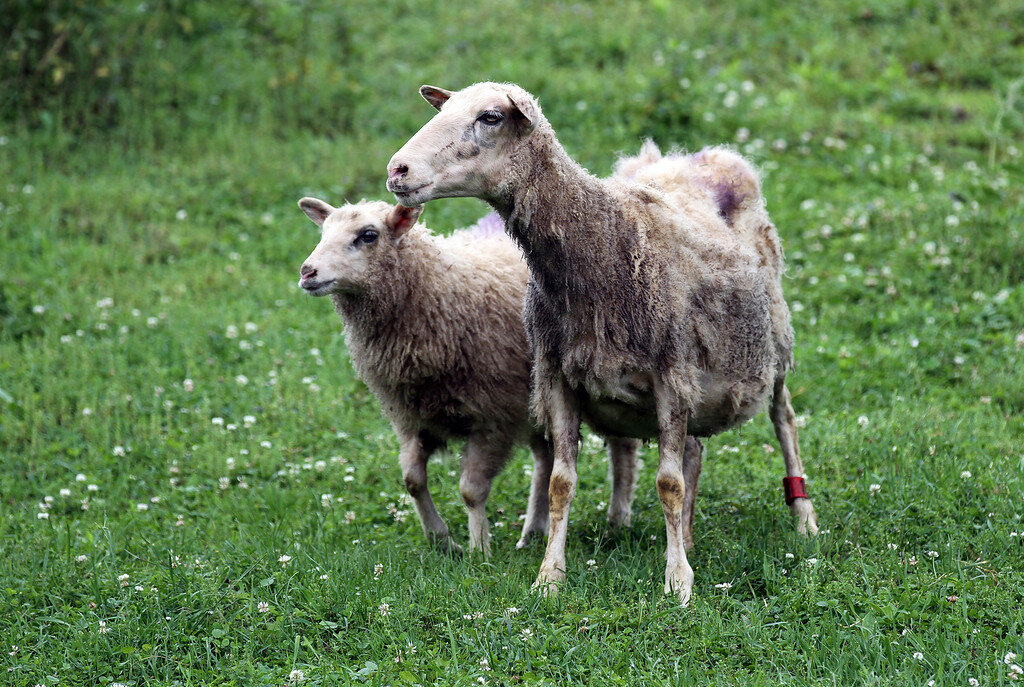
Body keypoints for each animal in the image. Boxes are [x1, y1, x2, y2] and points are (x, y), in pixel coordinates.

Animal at [294, 197, 642, 554]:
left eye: (368, 235)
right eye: (323, 232)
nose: (307, 272)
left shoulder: (491, 417)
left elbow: (471, 490)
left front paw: (479, 550)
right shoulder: (411, 417)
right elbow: (412, 480)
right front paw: (442, 540)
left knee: (622, 446)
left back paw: (617, 520)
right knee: (546, 458)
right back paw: (533, 531)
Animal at [386, 81, 819, 605]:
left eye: (490, 117)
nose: (397, 170)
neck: (605, 241)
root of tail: (700, 156)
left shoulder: (670, 374)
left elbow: (668, 483)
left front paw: (678, 581)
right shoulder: (557, 375)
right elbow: (560, 482)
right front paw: (550, 577)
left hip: (773, 338)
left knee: (784, 419)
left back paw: (804, 519)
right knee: (695, 450)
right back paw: (689, 536)